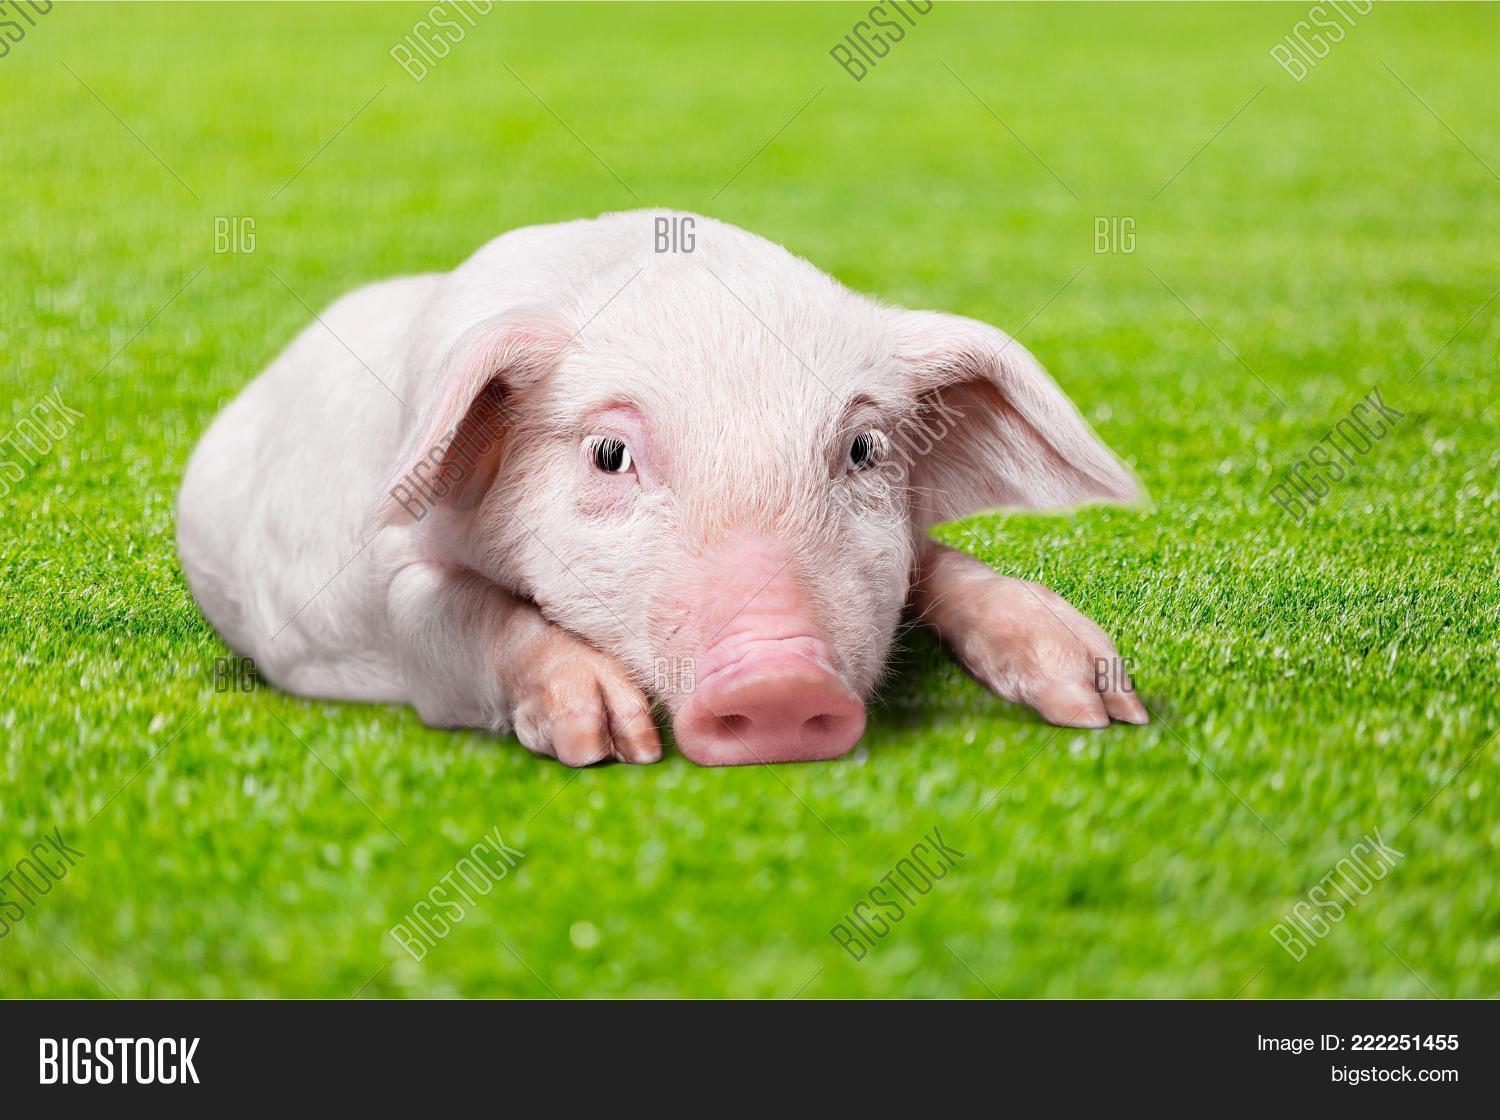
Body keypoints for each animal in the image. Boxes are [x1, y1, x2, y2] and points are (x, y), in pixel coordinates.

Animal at [177, 210, 1146, 767]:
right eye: (610, 454)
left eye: (864, 448)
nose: (782, 682)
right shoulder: (384, 592)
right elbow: (443, 612)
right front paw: (611, 741)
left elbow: (932, 562)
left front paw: (1104, 705)